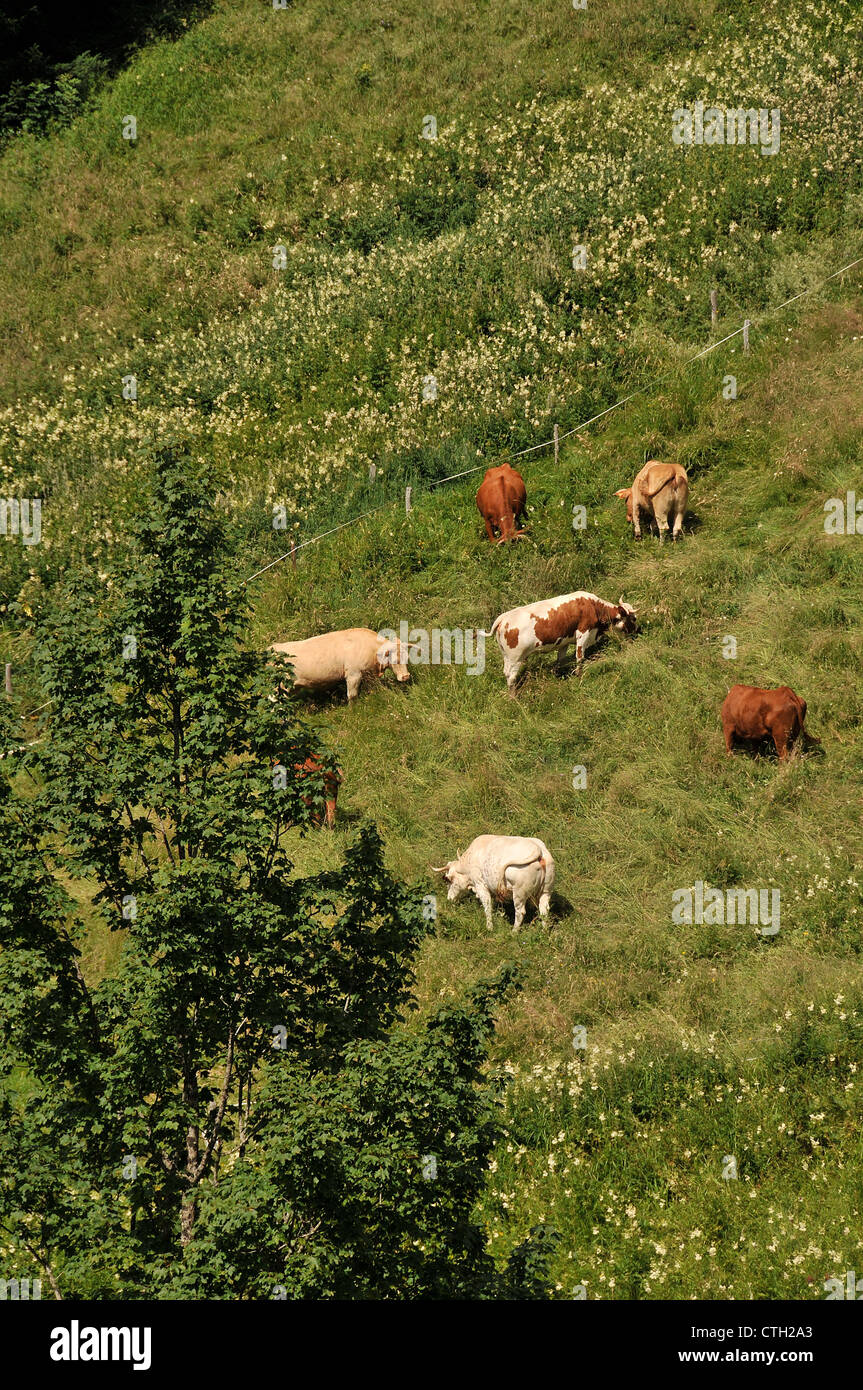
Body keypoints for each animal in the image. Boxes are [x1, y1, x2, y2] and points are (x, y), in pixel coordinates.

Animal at [269, 627, 411, 702]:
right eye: (395, 659)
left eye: (407, 657)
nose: (406, 676)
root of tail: (272, 648)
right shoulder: (354, 675)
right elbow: (352, 696)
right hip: (278, 689)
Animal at [487, 590, 636, 694]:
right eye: (633, 618)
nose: (637, 630)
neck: (593, 607)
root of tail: (504, 617)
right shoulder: (583, 633)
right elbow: (580, 657)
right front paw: (579, 676)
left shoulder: (564, 643)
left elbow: (560, 662)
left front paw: (558, 677)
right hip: (516, 658)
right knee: (511, 677)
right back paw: (514, 697)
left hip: (507, 657)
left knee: (506, 673)